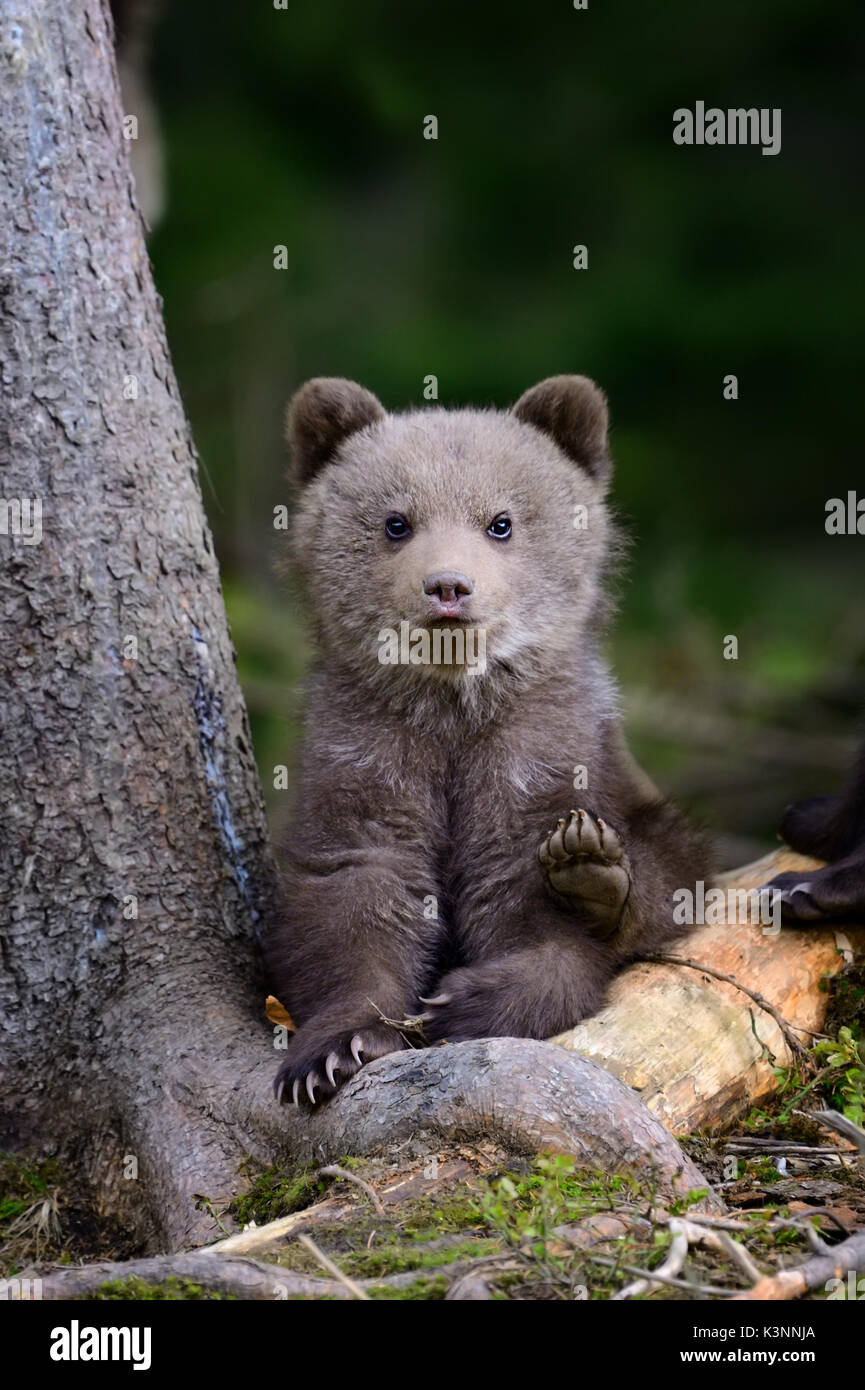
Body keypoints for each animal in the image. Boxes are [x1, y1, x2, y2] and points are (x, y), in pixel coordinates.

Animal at [267, 374, 713, 1105]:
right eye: (396, 522)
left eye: (499, 522)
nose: (448, 586)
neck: (453, 709)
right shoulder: (366, 747)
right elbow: (355, 890)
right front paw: (334, 1048)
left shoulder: (538, 749)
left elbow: (526, 887)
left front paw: (480, 998)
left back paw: (596, 872)